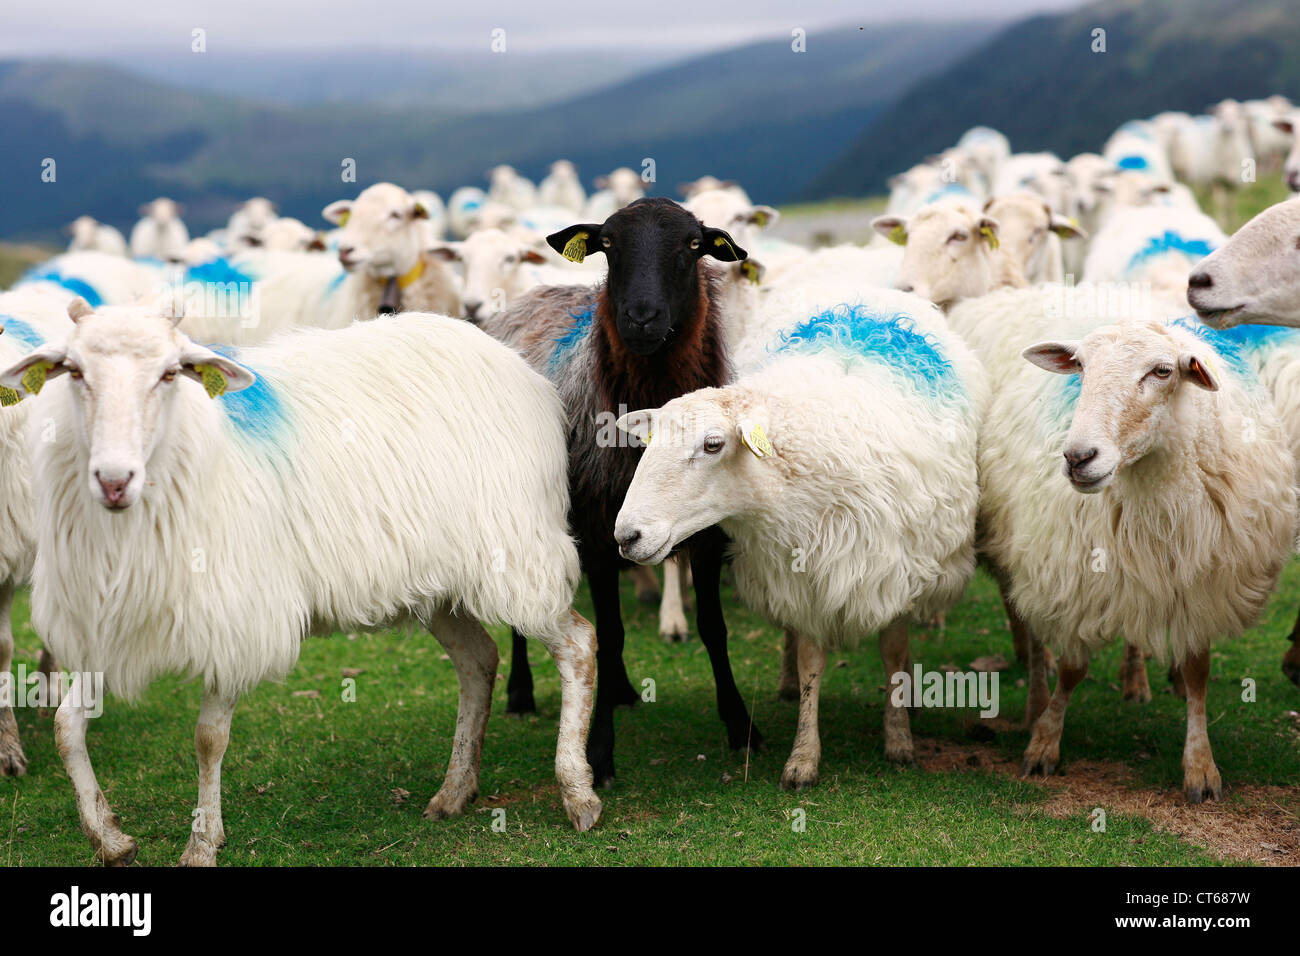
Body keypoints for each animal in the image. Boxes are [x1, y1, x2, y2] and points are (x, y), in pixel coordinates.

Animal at [1, 297, 605, 864]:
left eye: (170, 374)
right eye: (73, 371)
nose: (114, 479)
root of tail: (513, 363)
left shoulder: (240, 619)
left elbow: (208, 740)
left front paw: (202, 843)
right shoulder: (115, 620)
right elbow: (66, 727)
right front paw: (109, 838)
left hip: (517, 551)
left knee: (577, 644)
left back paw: (578, 792)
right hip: (436, 582)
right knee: (478, 660)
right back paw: (455, 790)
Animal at [481, 197, 758, 785]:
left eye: (693, 244)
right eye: (607, 243)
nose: (642, 317)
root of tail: (530, 295)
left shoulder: (703, 532)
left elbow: (713, 627)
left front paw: (742, 726)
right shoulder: (597, 529)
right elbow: (609, 634)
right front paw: (600, 752)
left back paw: (624, 690)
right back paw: (520, 692)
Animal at [612, 289, 985, 784]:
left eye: (712, 445)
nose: (626, 535)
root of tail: (857, 294)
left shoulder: (896, 568)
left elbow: (892, 650)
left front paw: (899, 738)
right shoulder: (802, 575)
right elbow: (811, 662)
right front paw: (803, 757)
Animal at [985, 316, 1294, 801]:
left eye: (1162, 371)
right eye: (1080, 366)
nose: (1078, 458)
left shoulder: (1199, 584)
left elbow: (1198, 671)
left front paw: (1201, 768)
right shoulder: (1074, 578)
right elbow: (1072, 669)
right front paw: (1044, 744)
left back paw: (1136, 681)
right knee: (1033, 630)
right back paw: (1035, 701)